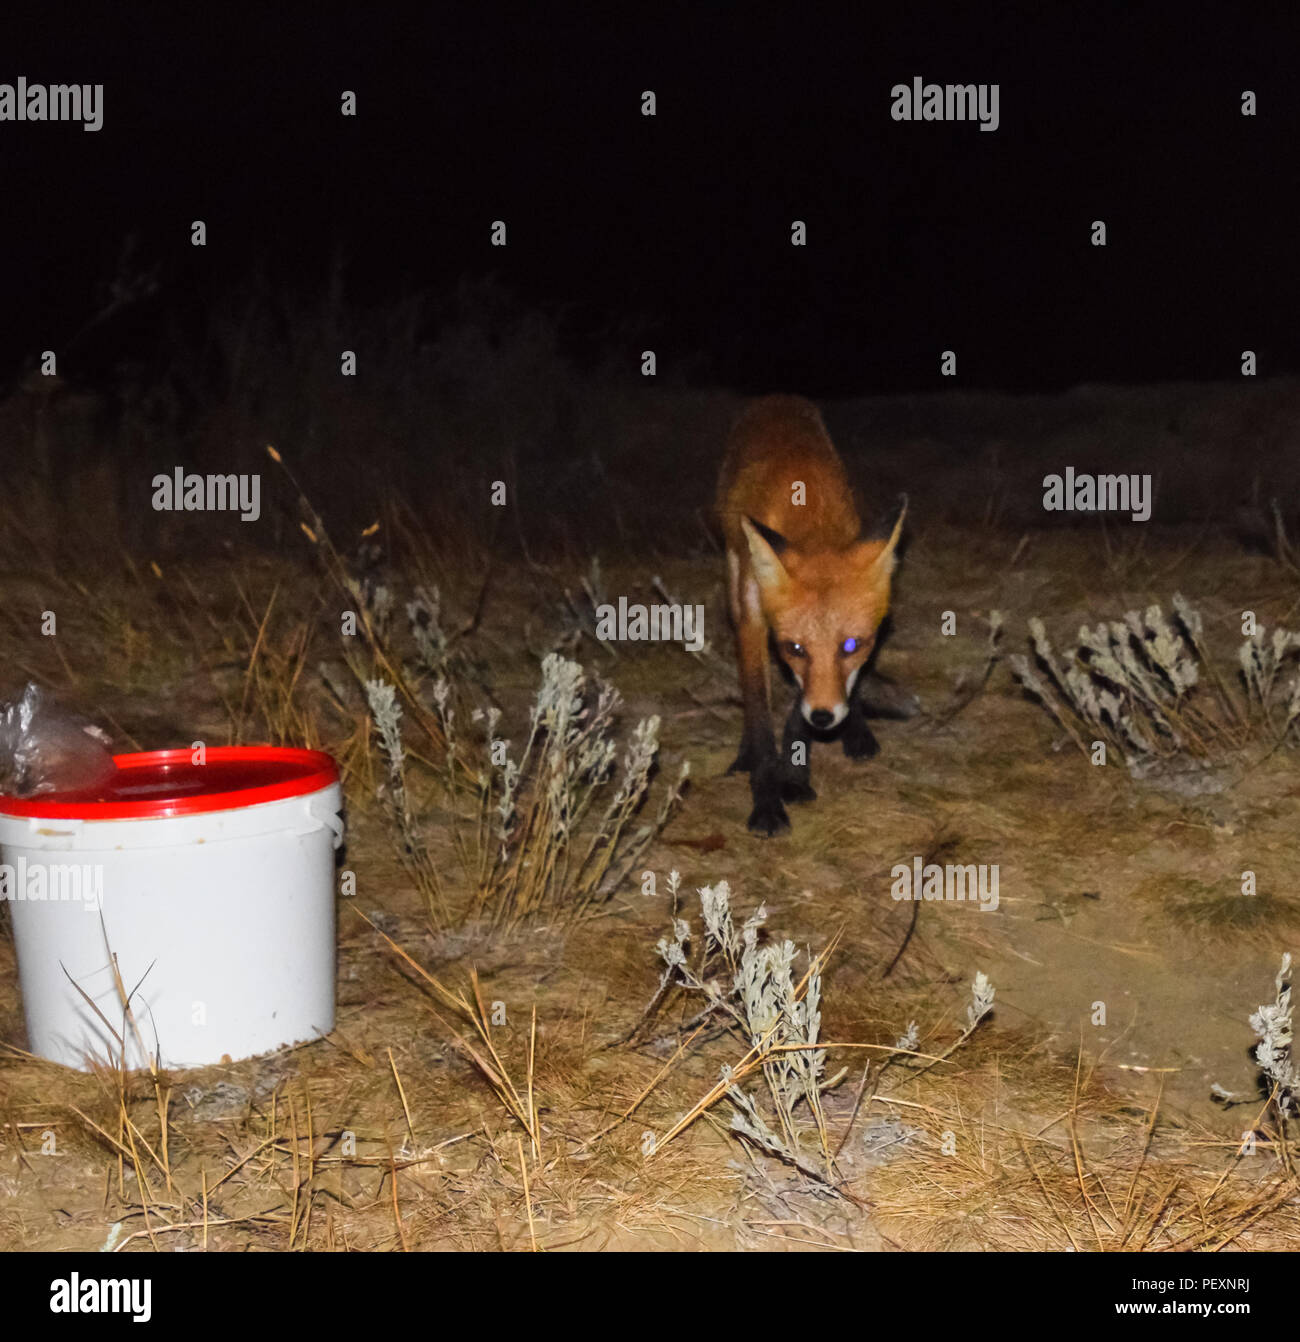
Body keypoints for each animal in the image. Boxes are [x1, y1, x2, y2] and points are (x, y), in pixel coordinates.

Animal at [716, 395, 906, 835]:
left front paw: (796, 775)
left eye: (851, 645)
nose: (824, 718)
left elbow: (803, 709)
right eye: (794, 648)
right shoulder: (754, 618)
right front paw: (768, 803)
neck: (807, 507)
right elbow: (761, 718)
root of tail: (777, 399)